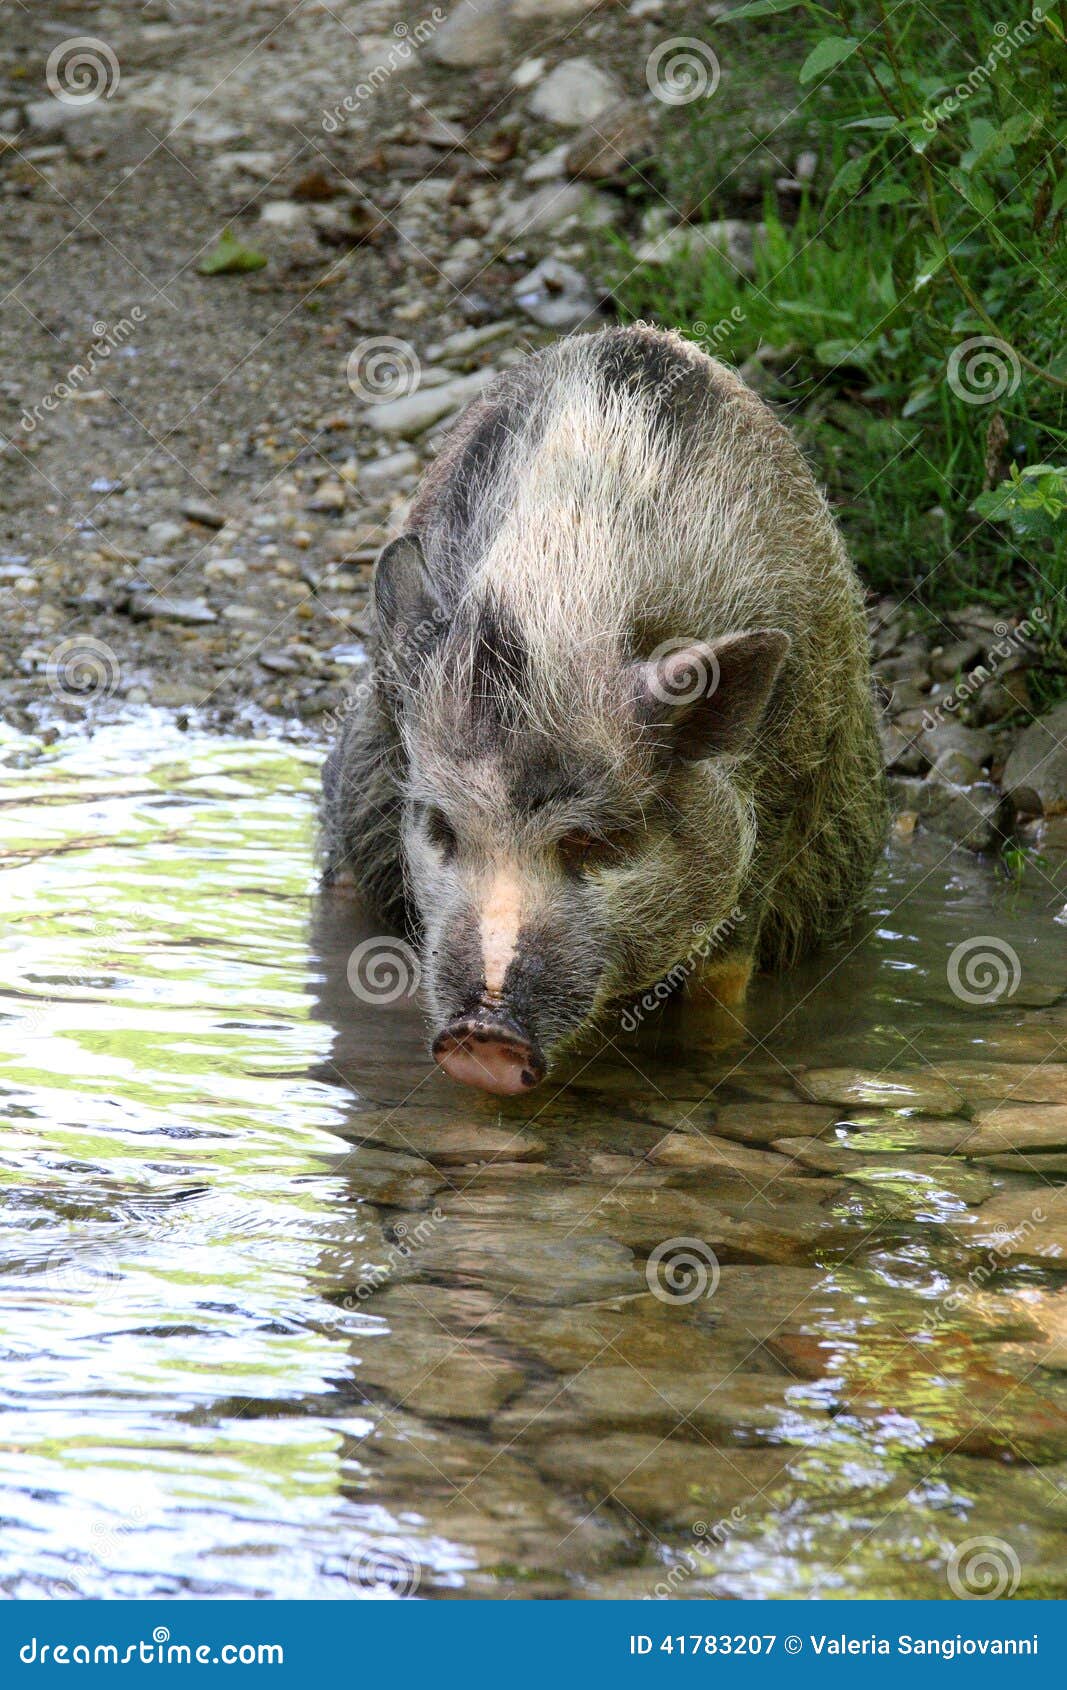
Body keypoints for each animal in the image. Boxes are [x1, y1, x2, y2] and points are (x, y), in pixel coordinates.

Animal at [322, 325, 888, 1094]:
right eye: (441, 829)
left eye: (594, 841)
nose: (483, 1036)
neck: (558, 593)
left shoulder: (784, 800)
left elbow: (721, 982)